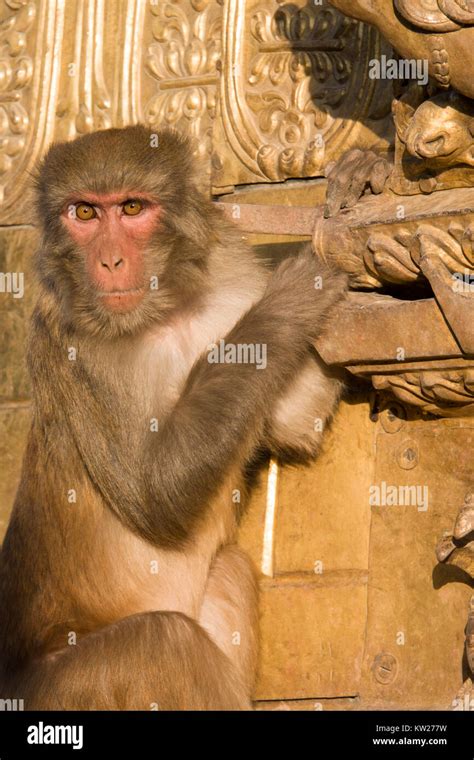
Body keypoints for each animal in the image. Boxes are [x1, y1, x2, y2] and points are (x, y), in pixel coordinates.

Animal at [0, 125, 346, 710]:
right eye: (84, 213)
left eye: (132, 208)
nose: (110, 262)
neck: (164, 314)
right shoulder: (70, 344)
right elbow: (152, 492)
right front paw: (290, 299)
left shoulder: (229, 282)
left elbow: (302, 418)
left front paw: (366, 173)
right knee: (164, 640)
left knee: (227, 571)